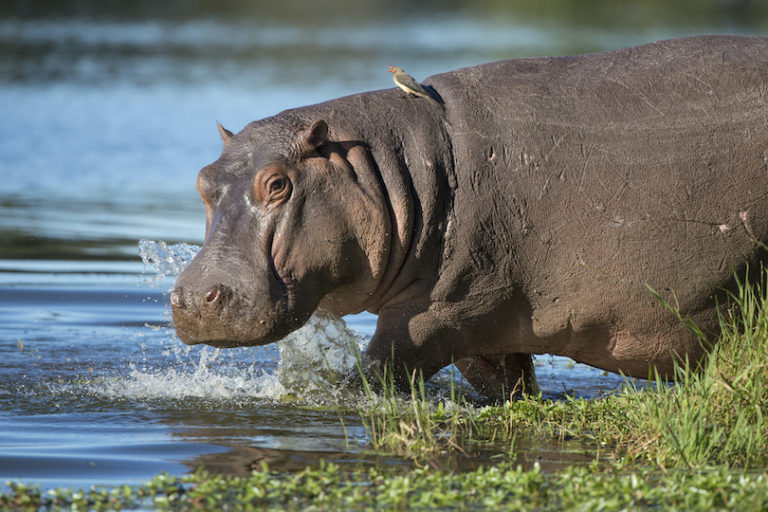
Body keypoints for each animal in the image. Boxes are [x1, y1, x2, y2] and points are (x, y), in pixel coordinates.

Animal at [171, 35, 768, 400]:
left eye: (278, 183)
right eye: (202, 180)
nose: (194, 297)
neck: (390, 168)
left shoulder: (439, 313)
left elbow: (373, 375)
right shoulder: (489, 326)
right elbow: (508, 386)